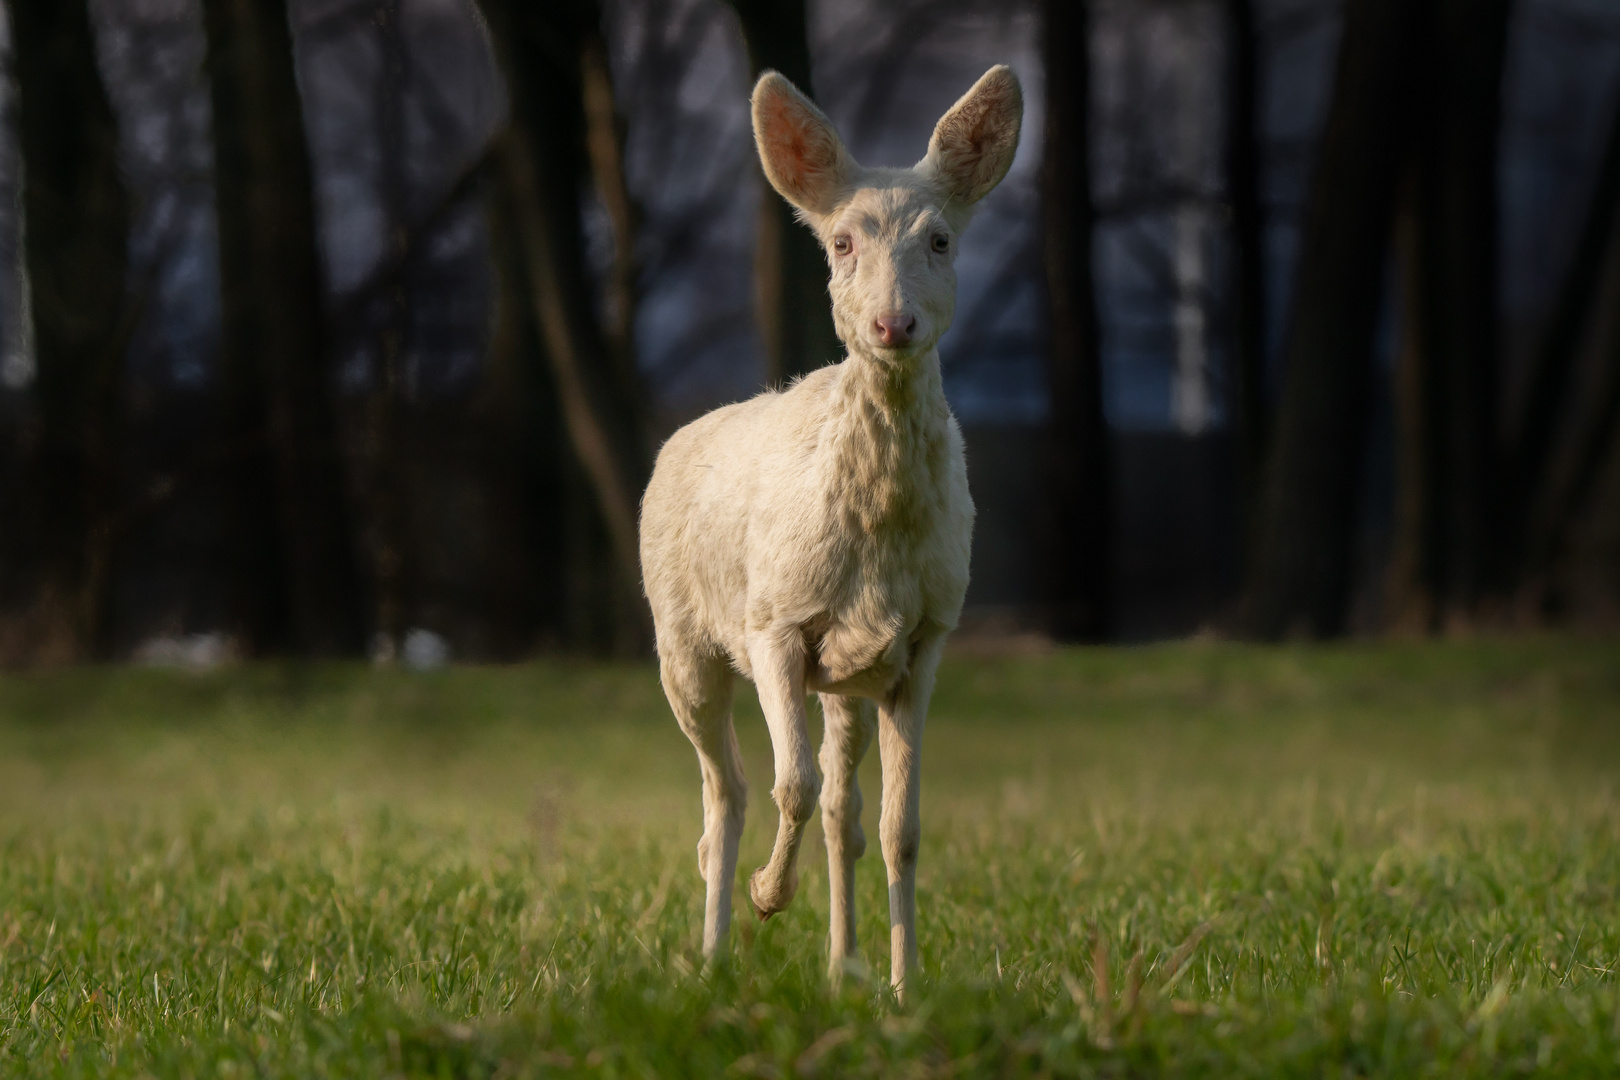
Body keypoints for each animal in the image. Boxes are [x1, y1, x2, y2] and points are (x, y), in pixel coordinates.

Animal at [639, 64, 1022, 999]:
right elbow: (793, 785)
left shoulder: (925, 637)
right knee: (727, 795)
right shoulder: (773, 619)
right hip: (681, 641)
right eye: (842, 243)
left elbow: (899, 826)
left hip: (848, 676)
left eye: (941, 240)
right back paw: (715, 955)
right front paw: (770, 898)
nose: (893, 324)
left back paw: (843, 965)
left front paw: (906, 986)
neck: (877, 528)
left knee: (845, 810)